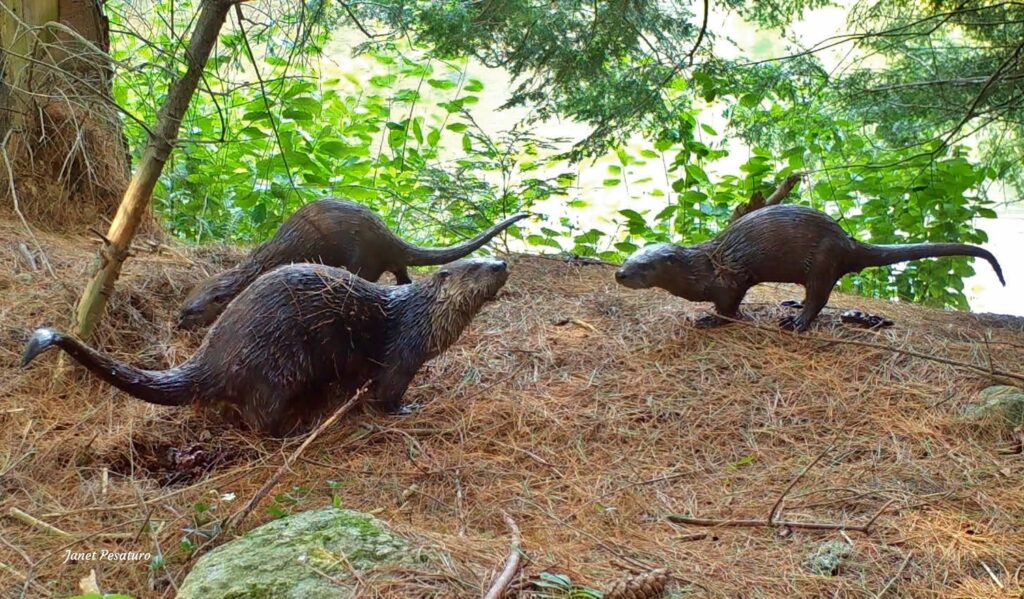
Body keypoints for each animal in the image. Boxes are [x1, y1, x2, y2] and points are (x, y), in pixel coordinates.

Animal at [22, 258, 510, 435]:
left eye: (493, 260)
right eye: (476, 266)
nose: (502, 263)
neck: (420, 317)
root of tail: (212, 357)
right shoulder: (403, 354)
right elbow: (386, 393)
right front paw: (405, 409)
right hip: (278, 364)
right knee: (259, 417)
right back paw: (295, 427)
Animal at [178, 199, 528, 329]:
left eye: (192, 311)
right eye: (185, 304)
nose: (178, 320)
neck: (260, 265)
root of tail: (386, 235)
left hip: (363, 258)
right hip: (389, 261)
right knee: (403, 275)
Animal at [615, 205, 1005, 332]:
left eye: (643, 267)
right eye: (627, 259)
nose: (619, 274)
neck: (702, 269)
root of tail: (847, 240)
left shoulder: (731, 279)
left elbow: (729, 306)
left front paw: (712, 320)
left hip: (822, 260)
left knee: (819, 297)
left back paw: (797, 322)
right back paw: (792, 304)